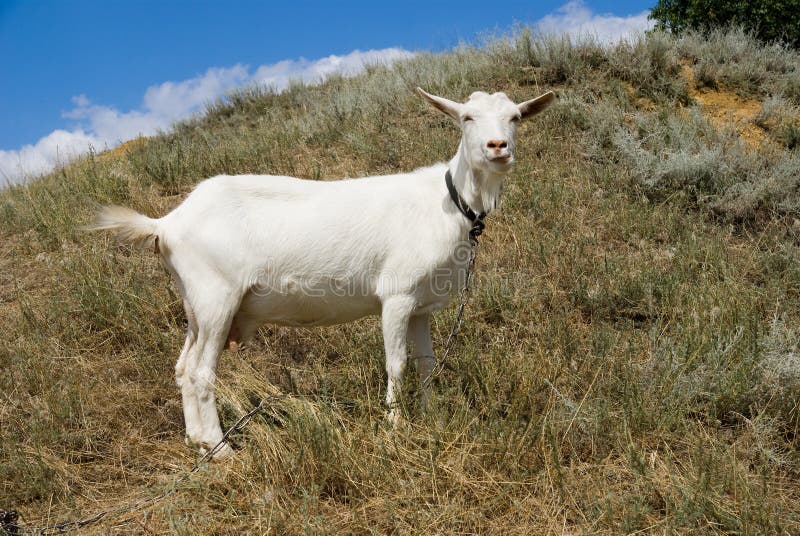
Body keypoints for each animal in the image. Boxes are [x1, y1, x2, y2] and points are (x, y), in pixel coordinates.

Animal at [87, 88, 554, 458]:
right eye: (466, 117)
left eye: (515, 117)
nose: (497, 146)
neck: (448, 204)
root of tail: (167, 223)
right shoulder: (397, 296)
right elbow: (397, 364)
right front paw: (393, 430)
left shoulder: (421, 306)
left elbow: (426, 363)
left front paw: (432, 417)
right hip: (217, 296)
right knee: (203, 372)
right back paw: (222, 450)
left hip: (194, 303)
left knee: (183, 368)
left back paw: (195, 442)